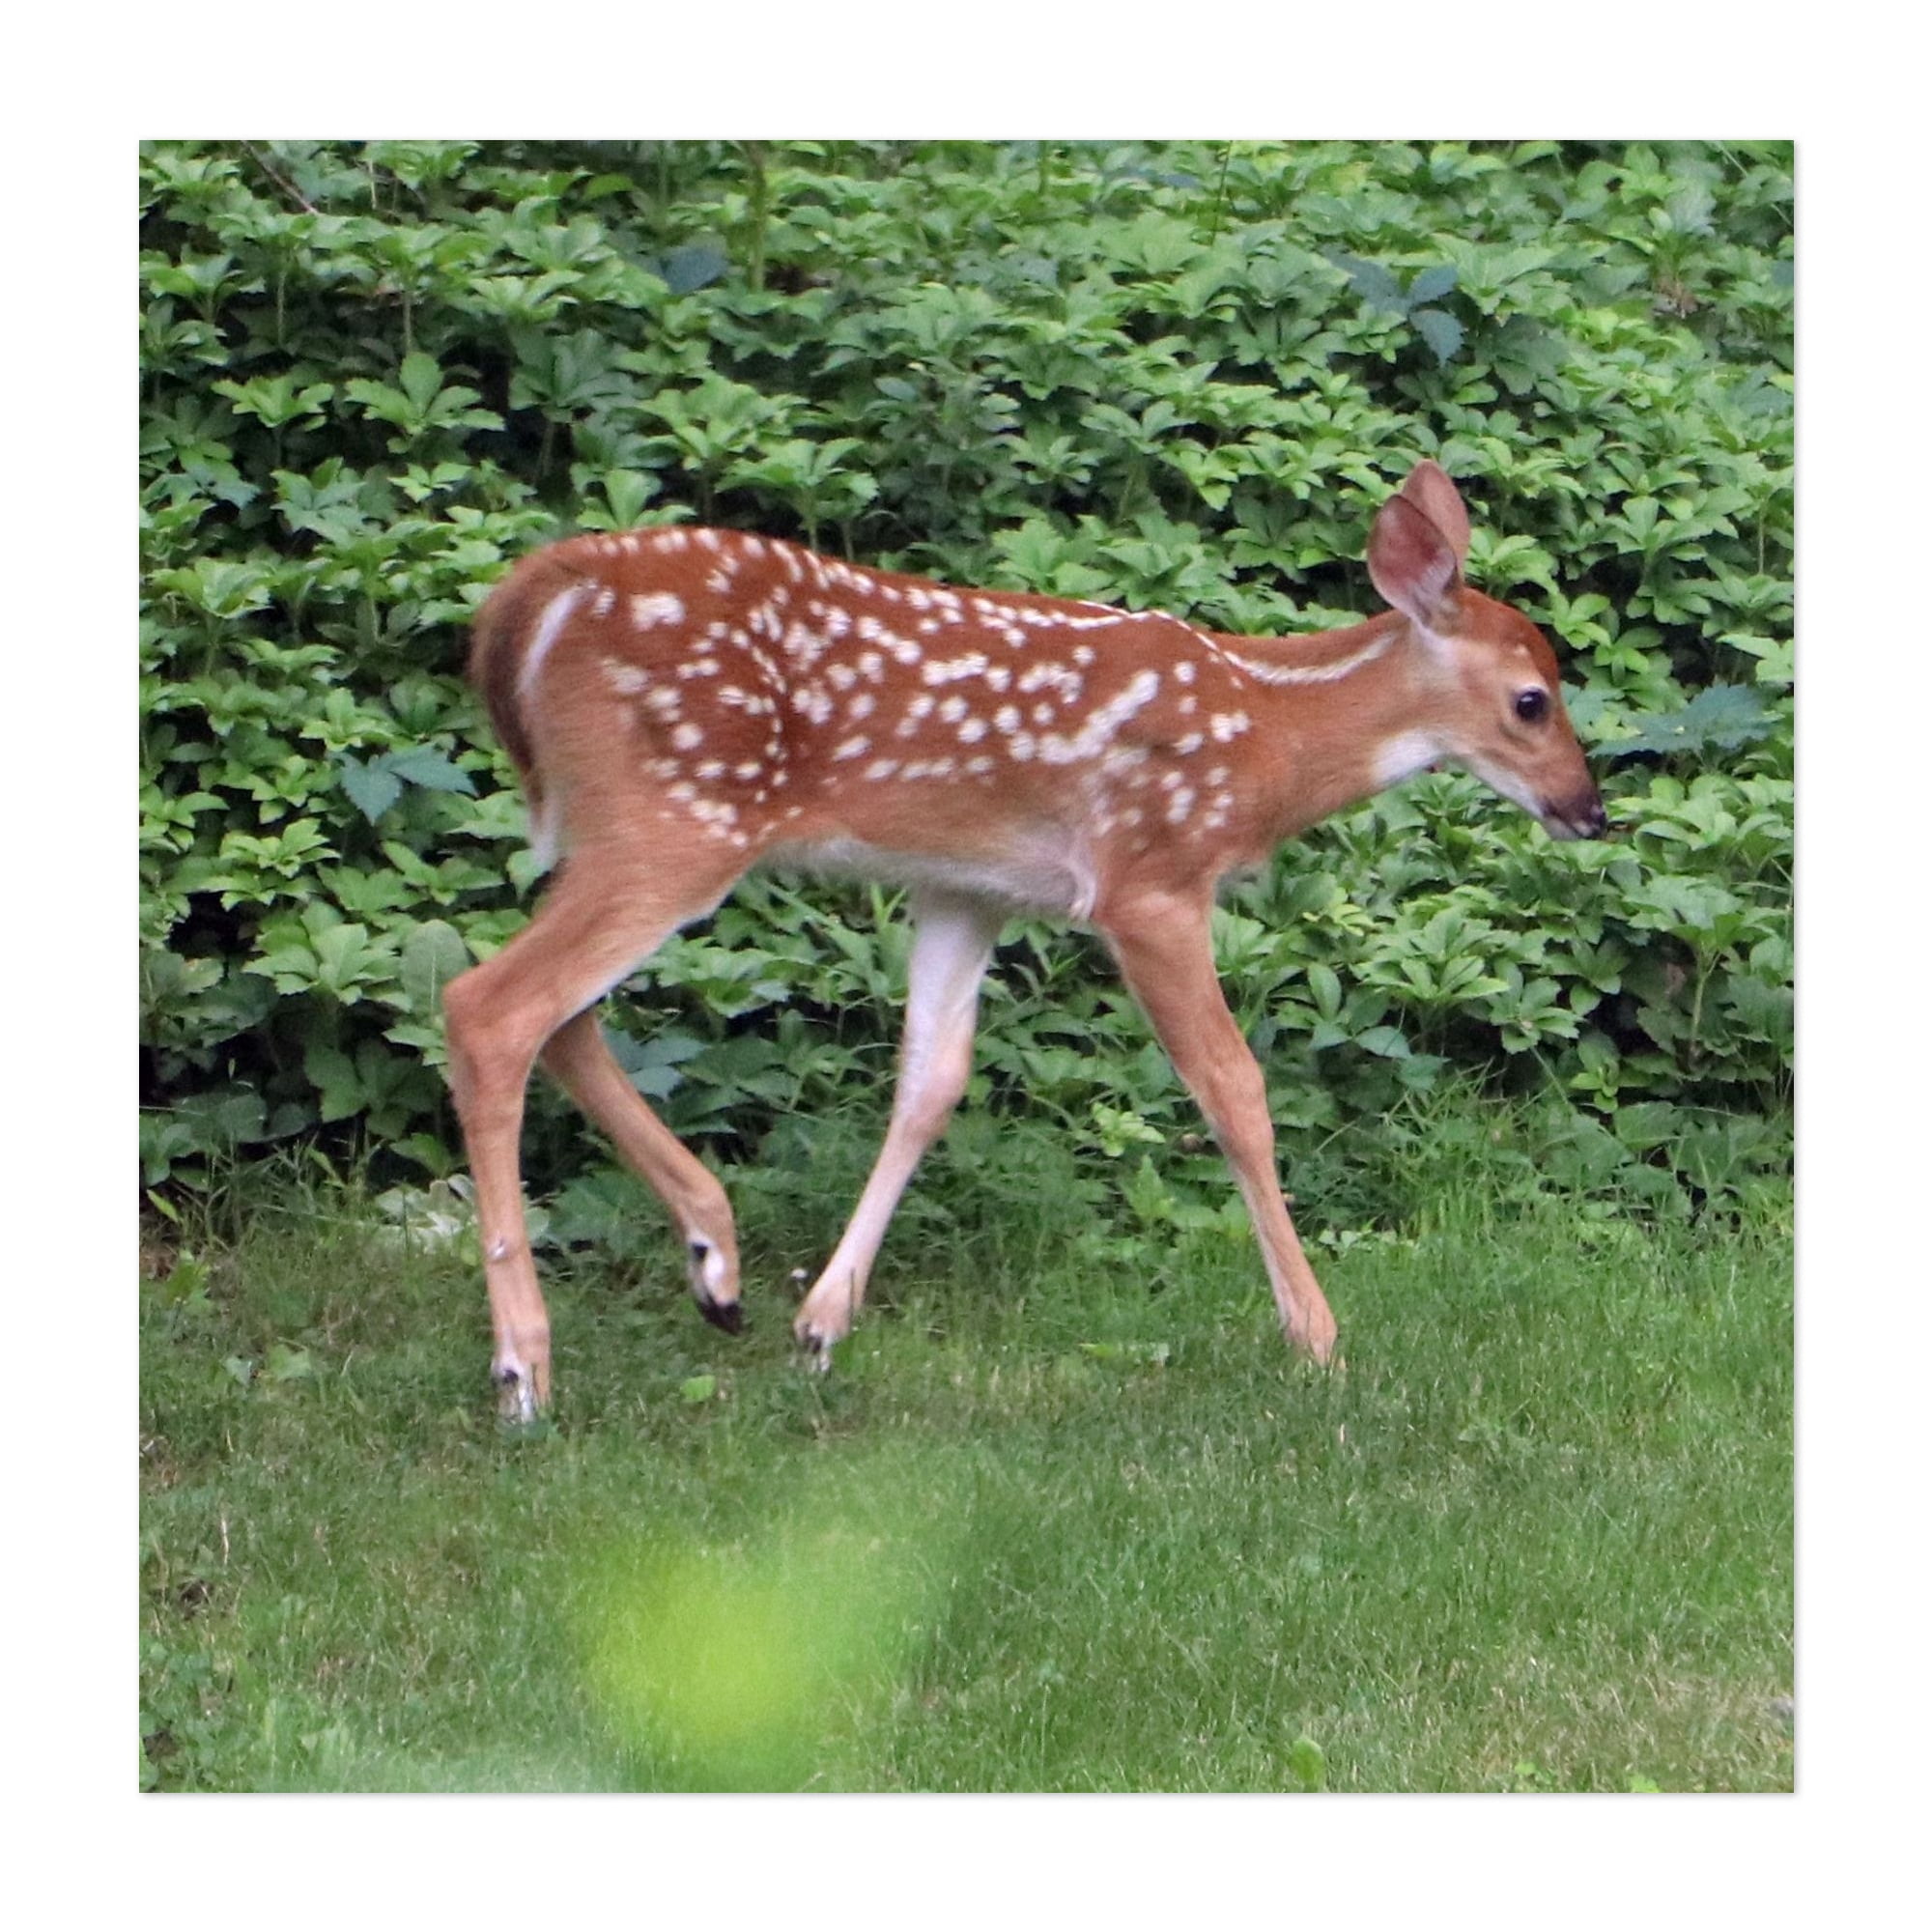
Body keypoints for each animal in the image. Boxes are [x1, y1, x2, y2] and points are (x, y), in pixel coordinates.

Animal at [444, 461, 1606, 1419]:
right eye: (1530, 700)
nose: (1588, 810)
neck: (1267, 734)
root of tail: (530, 599)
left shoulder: (969, 887)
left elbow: (931, 1082)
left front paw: (821, 1323)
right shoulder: (1150, 880)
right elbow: (1233, 1091)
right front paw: (1316, 1339)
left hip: (614, 829)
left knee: (561, 1015)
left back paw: (714, 1264)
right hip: (678, 815)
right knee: (490, 1004)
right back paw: (523, 1367)